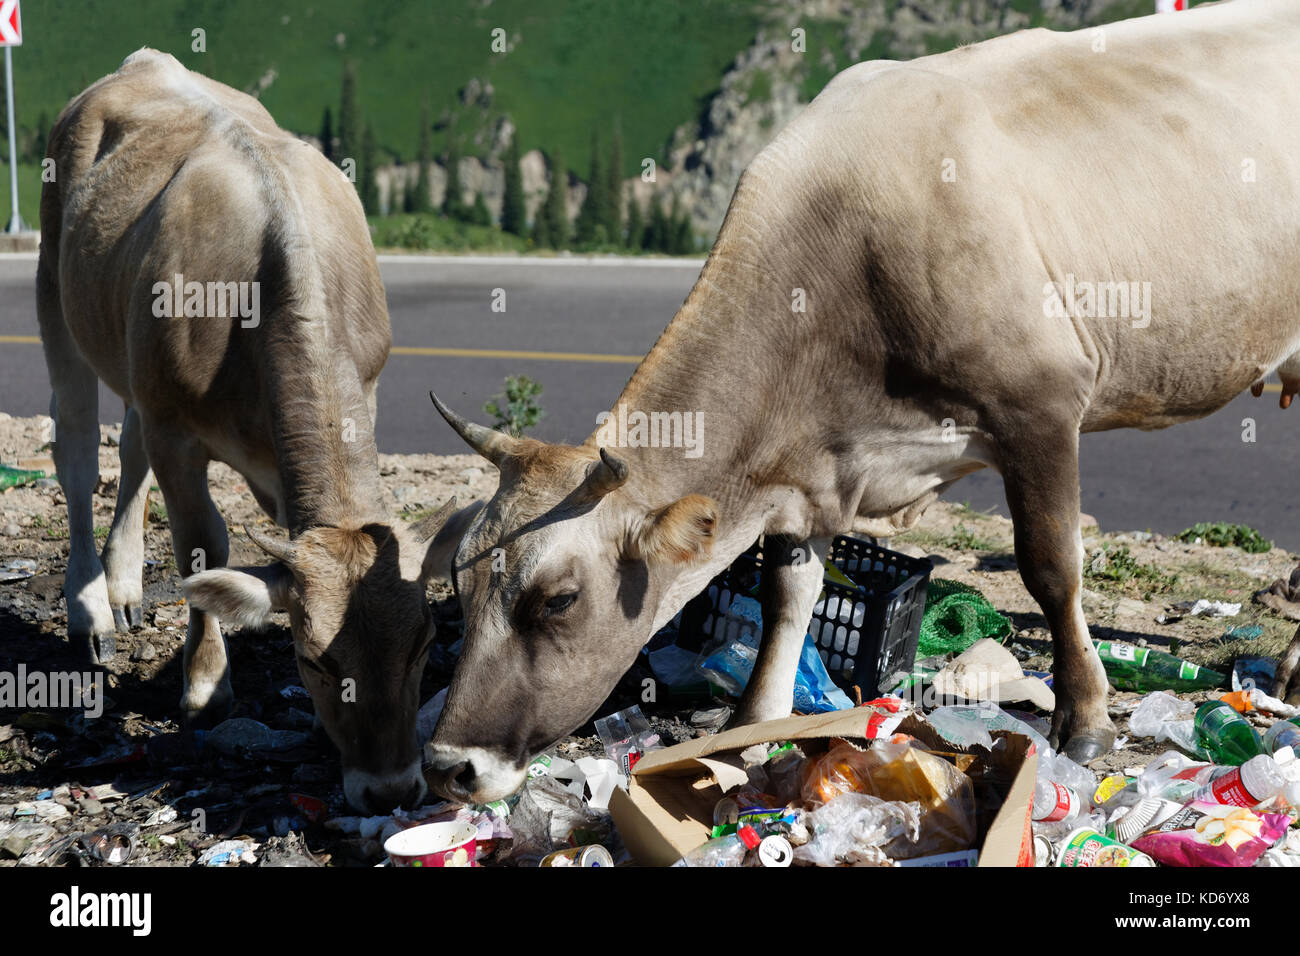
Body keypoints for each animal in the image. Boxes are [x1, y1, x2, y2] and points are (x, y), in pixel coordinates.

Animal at [37, 49, 466, 813]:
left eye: (423, 644)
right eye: (314, 660)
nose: (390, 790)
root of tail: (143, 62)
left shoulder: (363, 395)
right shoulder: (178, 430)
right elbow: (204, 547)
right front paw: (207, 684)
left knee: (127, 445)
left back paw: (123, 587)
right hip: (54, 288)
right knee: (79, 449)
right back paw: (90, 608)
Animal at [423, 0, 1300, 804]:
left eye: (558, 601)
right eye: (460, 588)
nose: (448, 766)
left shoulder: (1041, 403)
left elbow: (1052, 568)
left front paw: (1082, 718)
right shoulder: (807, 471)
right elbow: (789, 598)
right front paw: (752, 727)